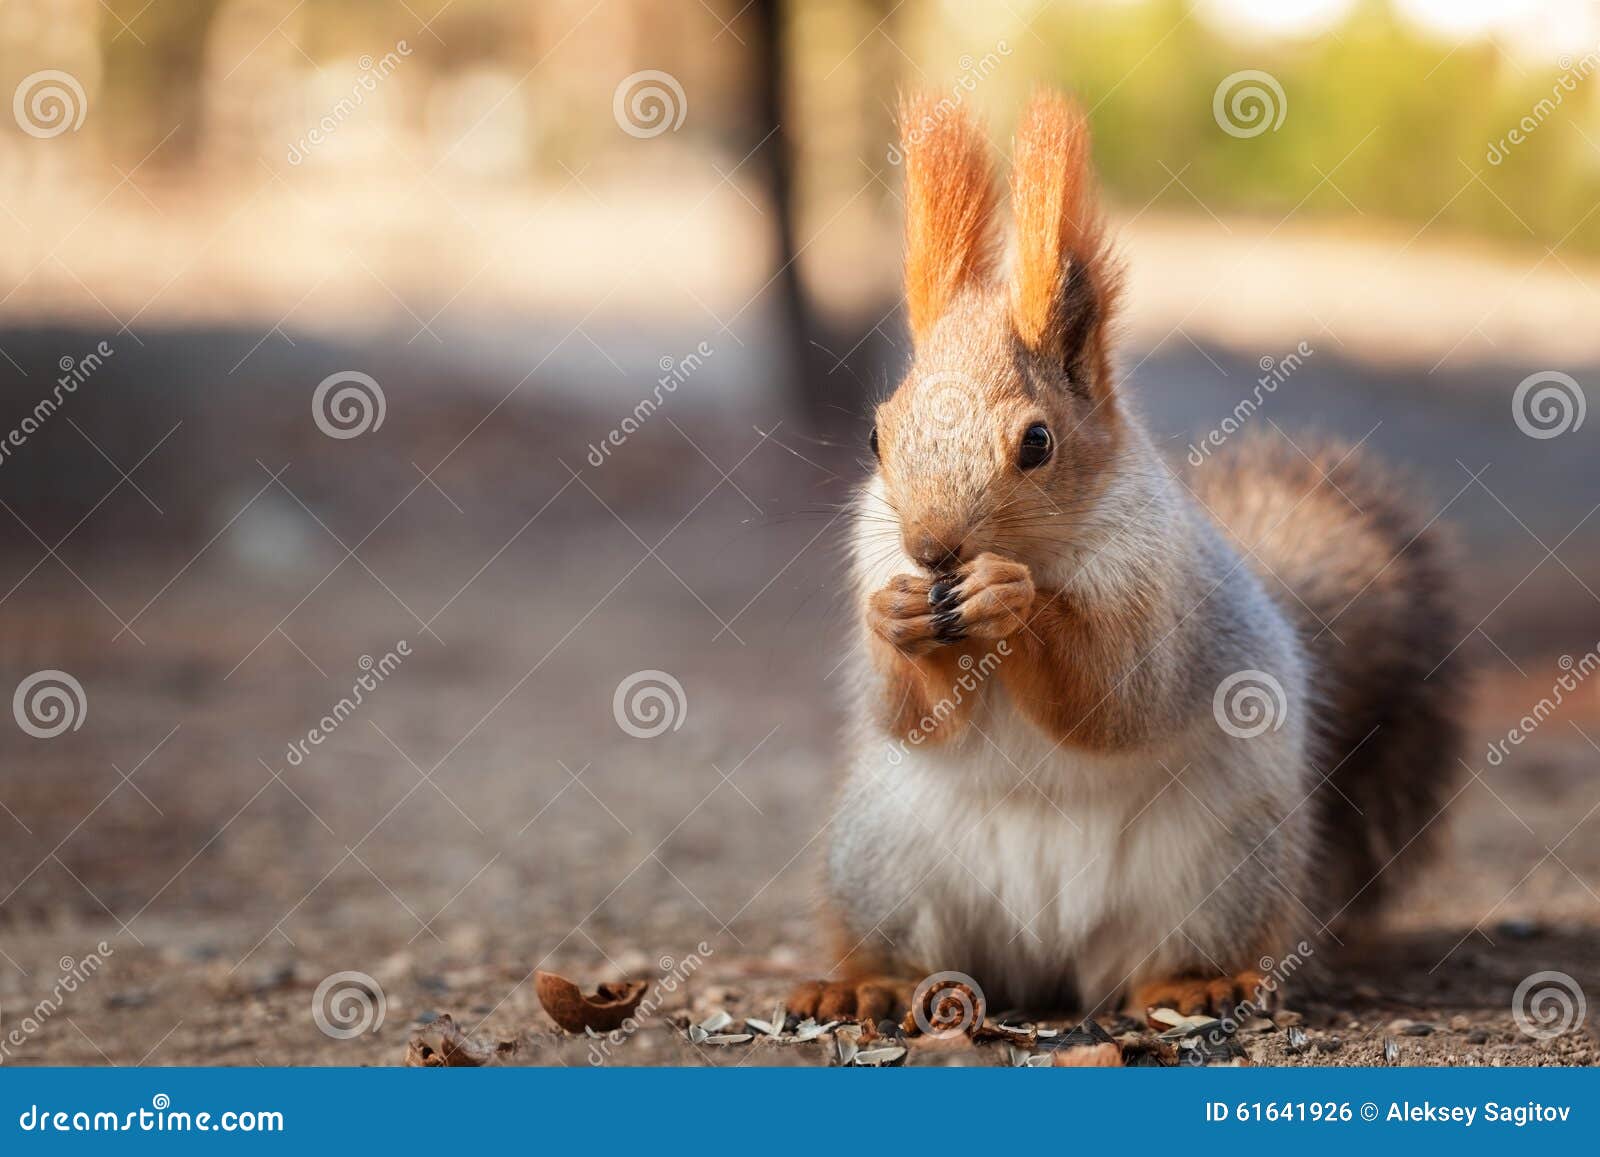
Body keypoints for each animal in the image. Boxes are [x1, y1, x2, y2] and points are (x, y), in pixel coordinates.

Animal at [788, 91, 1465, 1026]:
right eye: (875, 435)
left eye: (1037, 442)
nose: (932, 549)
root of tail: (1049, 953)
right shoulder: (871, 556)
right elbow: (909, 713)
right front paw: (896, 615)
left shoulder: (1158, 587)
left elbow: (1117, 695)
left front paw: (1014, 598)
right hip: (879, 858)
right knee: (905, 946)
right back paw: (866, 984)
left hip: (1224, 865)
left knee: (1180, 950)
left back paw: (1196, 980)